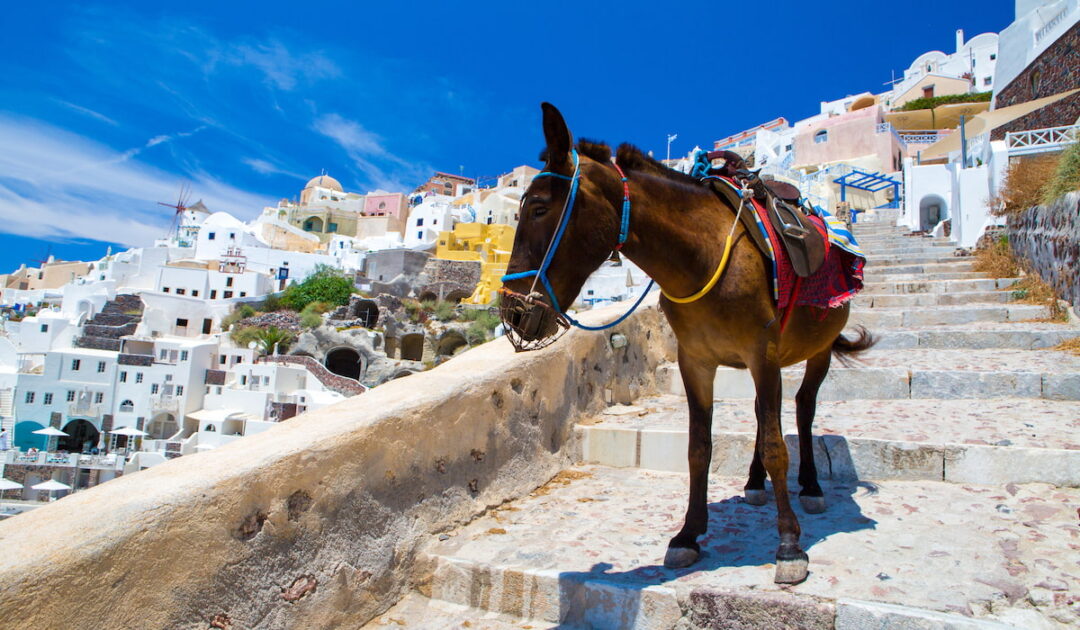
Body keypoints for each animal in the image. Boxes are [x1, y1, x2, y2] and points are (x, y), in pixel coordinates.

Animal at [500, 103, 875, 585]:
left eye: (540, 207)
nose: (512, 314)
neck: (703, 255)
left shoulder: (762, 354)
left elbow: (777, 447)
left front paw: (790, 544)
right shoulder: (696, 362)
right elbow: (699, 449)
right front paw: (688, 535)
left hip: (817, 350)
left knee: (803, 409)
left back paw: (809, 485)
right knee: (762, 413)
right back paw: (754, 483)